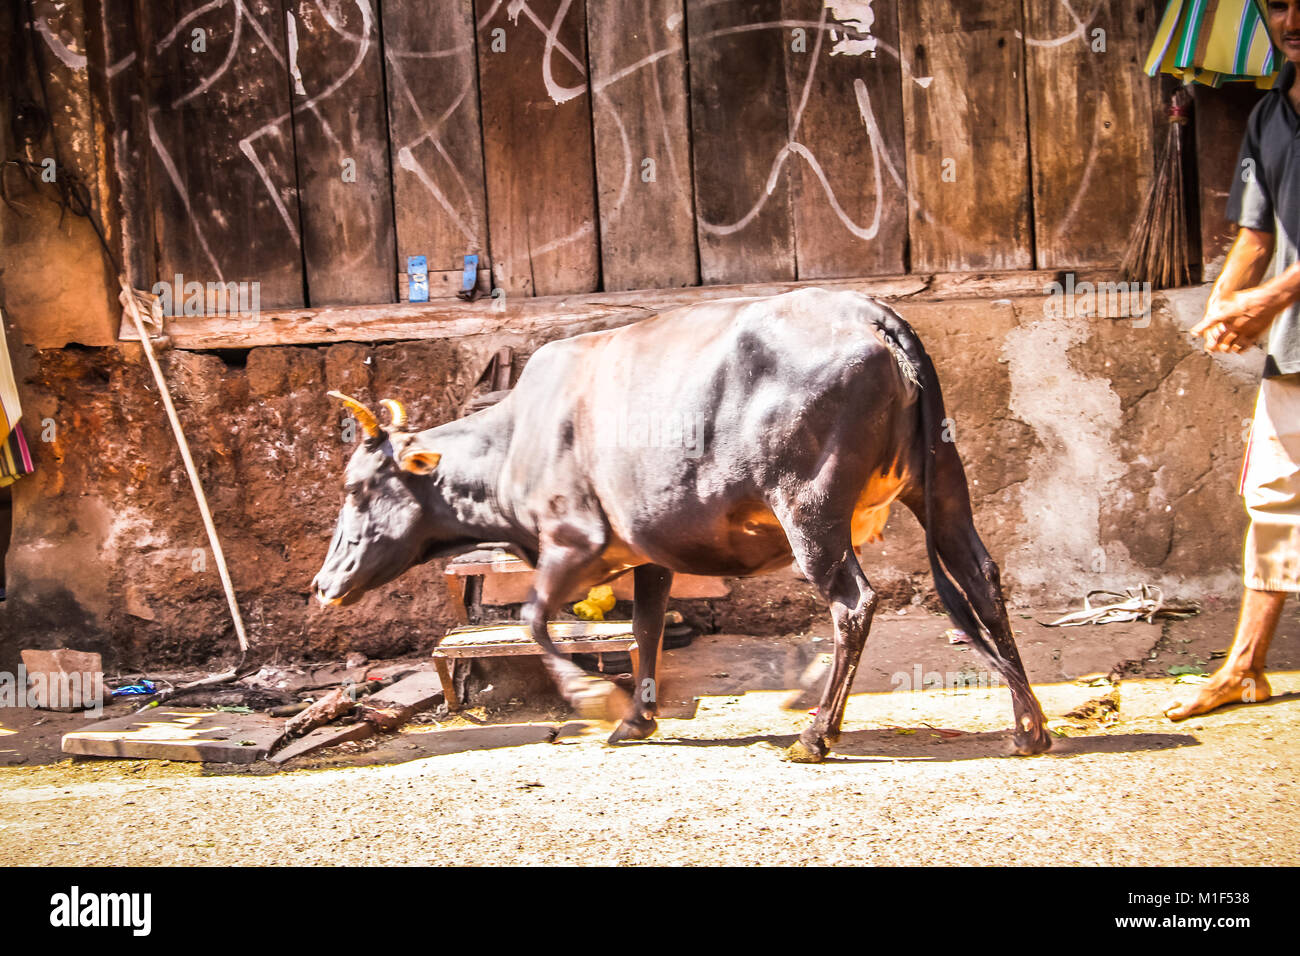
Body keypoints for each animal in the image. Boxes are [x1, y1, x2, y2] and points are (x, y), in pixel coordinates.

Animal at [312, 288, 1051, 762]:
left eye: (357, 489)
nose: (321, 586)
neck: (513, 443)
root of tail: (871, 312)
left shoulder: (571, 543)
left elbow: (533, 619)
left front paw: (596, 700)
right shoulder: (648, 552)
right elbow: (644, 628)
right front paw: (636, 719)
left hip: (810, 510)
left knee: (854, 603)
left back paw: (815, 735)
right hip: (941, 485)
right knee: (980, 576)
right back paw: (1028, 728)